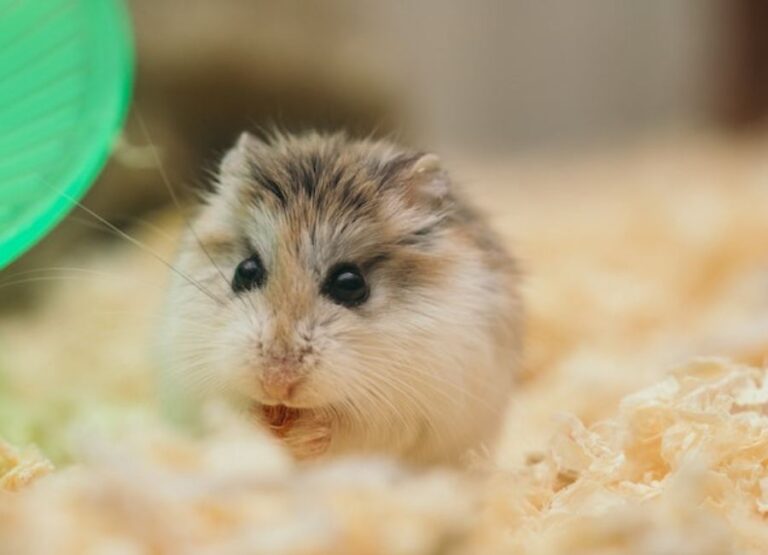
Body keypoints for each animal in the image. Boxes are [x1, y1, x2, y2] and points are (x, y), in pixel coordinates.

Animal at [161, 131, 522, 465]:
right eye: (245, 271)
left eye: (350, 283)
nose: (276, 384)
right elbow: (227, 412)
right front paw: (262, 427)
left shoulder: (407, 411)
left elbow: (346, 429)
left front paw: (302, 437)